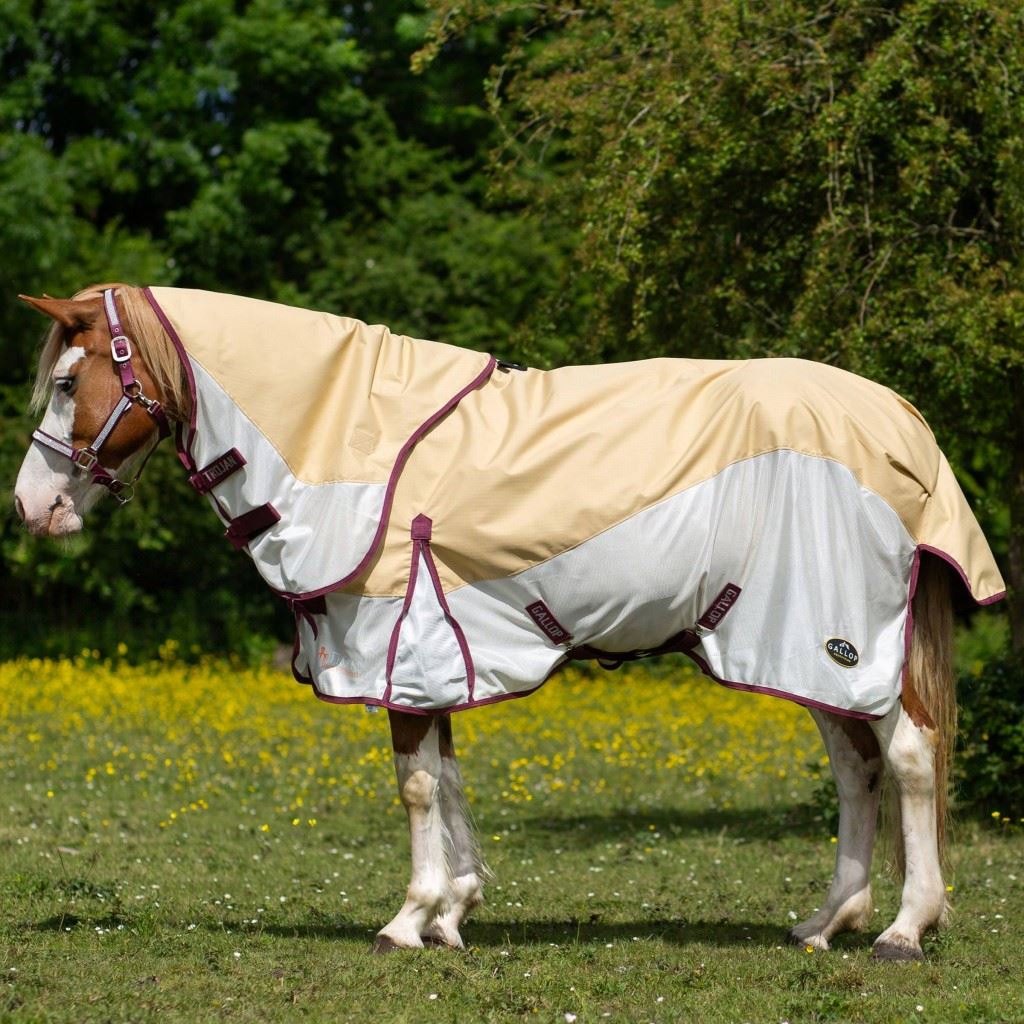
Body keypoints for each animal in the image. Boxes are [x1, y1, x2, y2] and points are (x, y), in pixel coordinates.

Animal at [13, 283, 1005, 960]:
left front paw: (409, 918)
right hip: (806, 649)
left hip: (846, 641)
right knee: (855, 771)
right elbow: (447, 779)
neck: (357, 440)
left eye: (67, 380)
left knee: (908, 760)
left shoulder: (397, 643)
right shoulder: (433, 651)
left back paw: (904, 929)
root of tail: (901, 422)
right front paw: (454, 910)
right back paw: (826, 921)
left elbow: (416, 785)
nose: (31, 508)